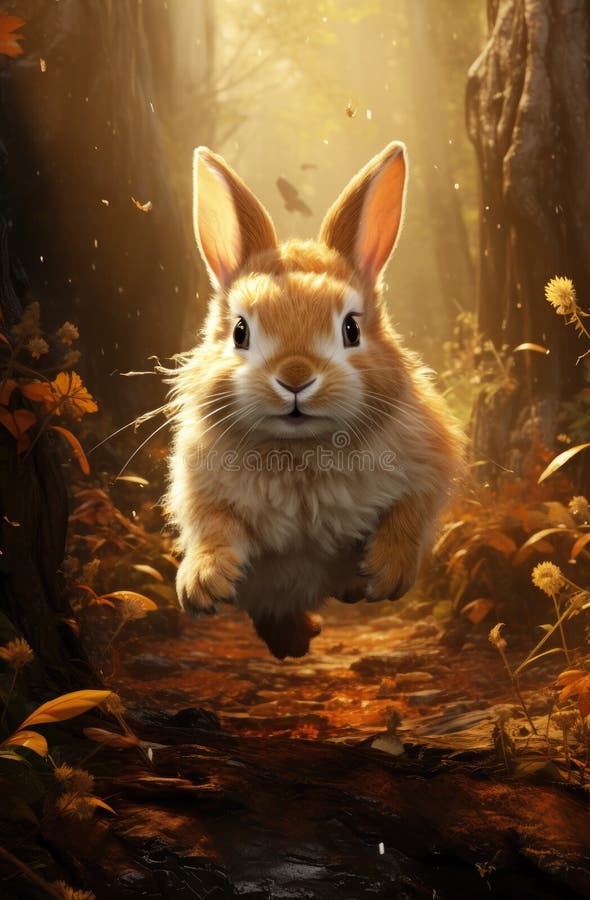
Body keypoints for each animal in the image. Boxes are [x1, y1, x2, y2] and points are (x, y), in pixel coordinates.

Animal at [165, 141, 465, 660]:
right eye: (240, 331)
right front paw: (203, 583)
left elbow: (408, 515)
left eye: (351, 329)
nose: (295, 378)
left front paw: (385, 574)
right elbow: (211, 529)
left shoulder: (427, 464)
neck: (302, 451)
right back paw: (296, 640)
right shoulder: (201, 489)